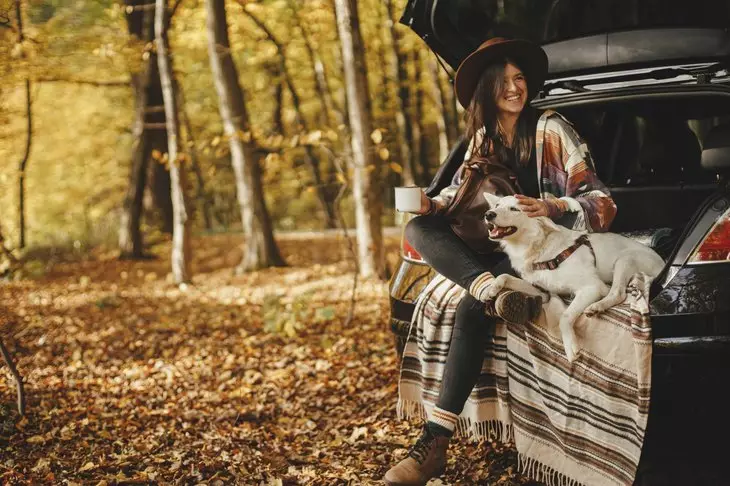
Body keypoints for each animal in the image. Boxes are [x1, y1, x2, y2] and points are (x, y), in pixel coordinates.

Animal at [480, 194, 664, 360]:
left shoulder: (592, 287)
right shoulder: (542, 292)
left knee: (618, 293)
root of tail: (663, 264)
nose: (489, 214)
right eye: (497, 205)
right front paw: (490, 289)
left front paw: (570, 347)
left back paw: (597, 306)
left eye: (514, 209)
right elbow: (504, 276)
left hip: (624, 260)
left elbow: (565, 316)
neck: (539, 250)